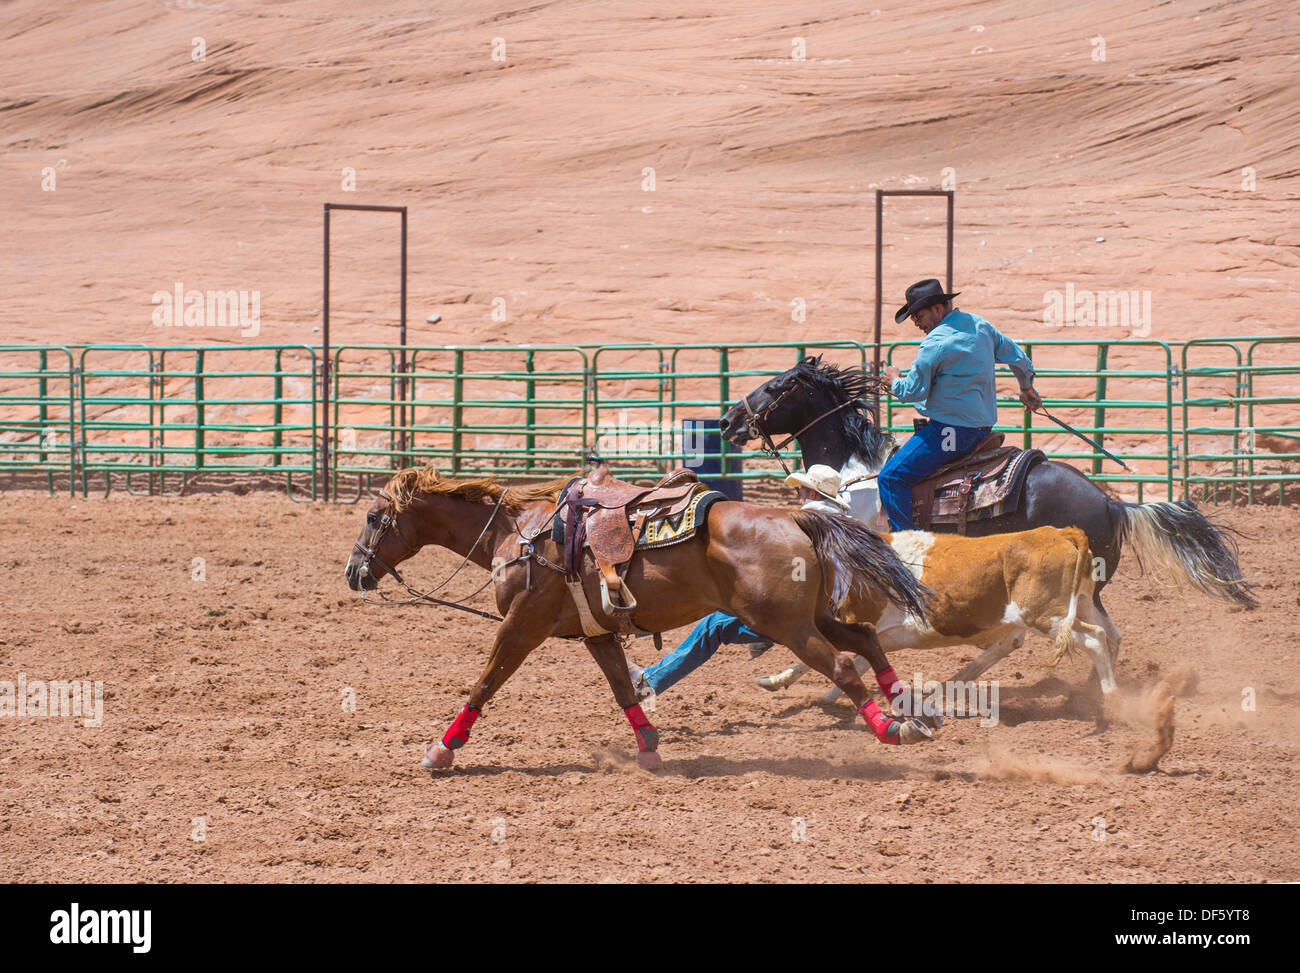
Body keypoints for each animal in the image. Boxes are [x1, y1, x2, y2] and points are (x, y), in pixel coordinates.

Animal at [344, 465, 935, 772]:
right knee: (865, 639)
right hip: (806, 616)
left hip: (785, 625)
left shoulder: (521, 626)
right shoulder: (596, 632)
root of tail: (794, 514)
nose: (353, 572)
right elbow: (621, 688)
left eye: (373, 517)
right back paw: (914, 712)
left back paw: (891, 729)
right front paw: (648, 744)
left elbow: (485, 682)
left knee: (842, 664)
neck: (520, 535)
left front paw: (443, 749)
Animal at [718, 356, 1256, 692]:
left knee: (1042, 635)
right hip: (1086, 589)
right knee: (1106, 634)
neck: (854, 473)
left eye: (776, 387)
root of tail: (1112, 505)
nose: (727, 422)